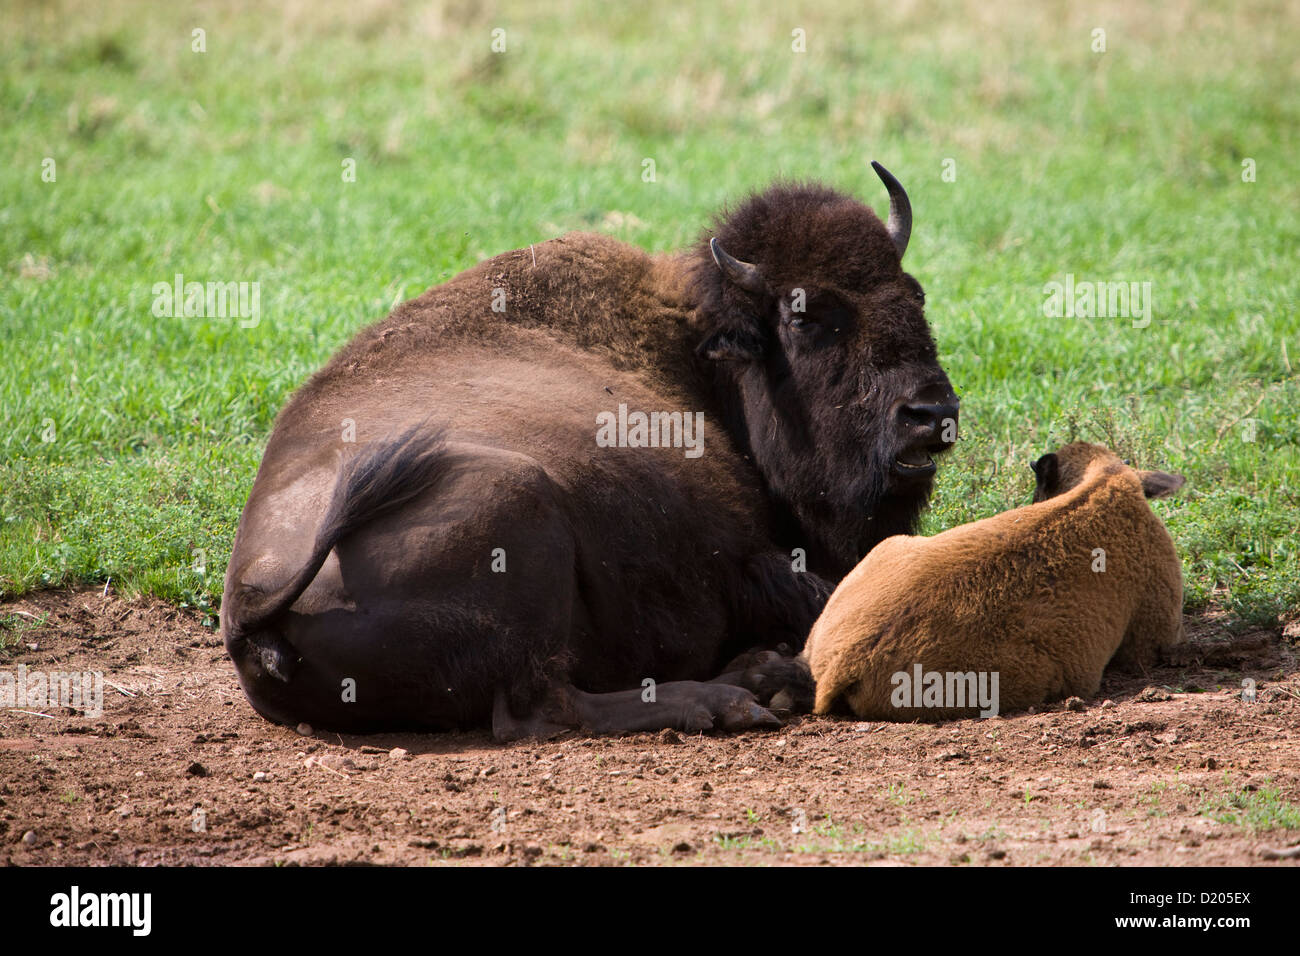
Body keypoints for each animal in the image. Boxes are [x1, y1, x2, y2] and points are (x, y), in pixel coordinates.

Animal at [222, 162, 959, 737]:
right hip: (520, 506)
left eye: (914, 293)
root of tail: (248, 600)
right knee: (540, 709)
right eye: (805, 316)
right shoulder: (756, 561)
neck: (695, 346)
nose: (932, 412)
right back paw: (727, 700)